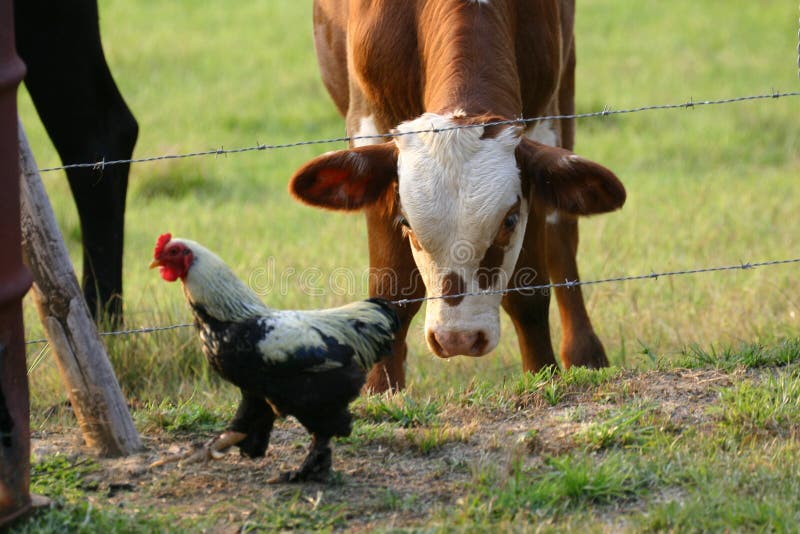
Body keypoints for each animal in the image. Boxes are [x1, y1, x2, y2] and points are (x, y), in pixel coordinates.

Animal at [290, 0, 626, 392]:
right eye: (406, 223)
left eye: (510, 221)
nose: (458, 339)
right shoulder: (369, 122)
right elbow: (392, 287)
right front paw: (382, 388)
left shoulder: (541, 118)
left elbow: (529, 290)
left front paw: (542, 374)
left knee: (562, 236)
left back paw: (585, 352)